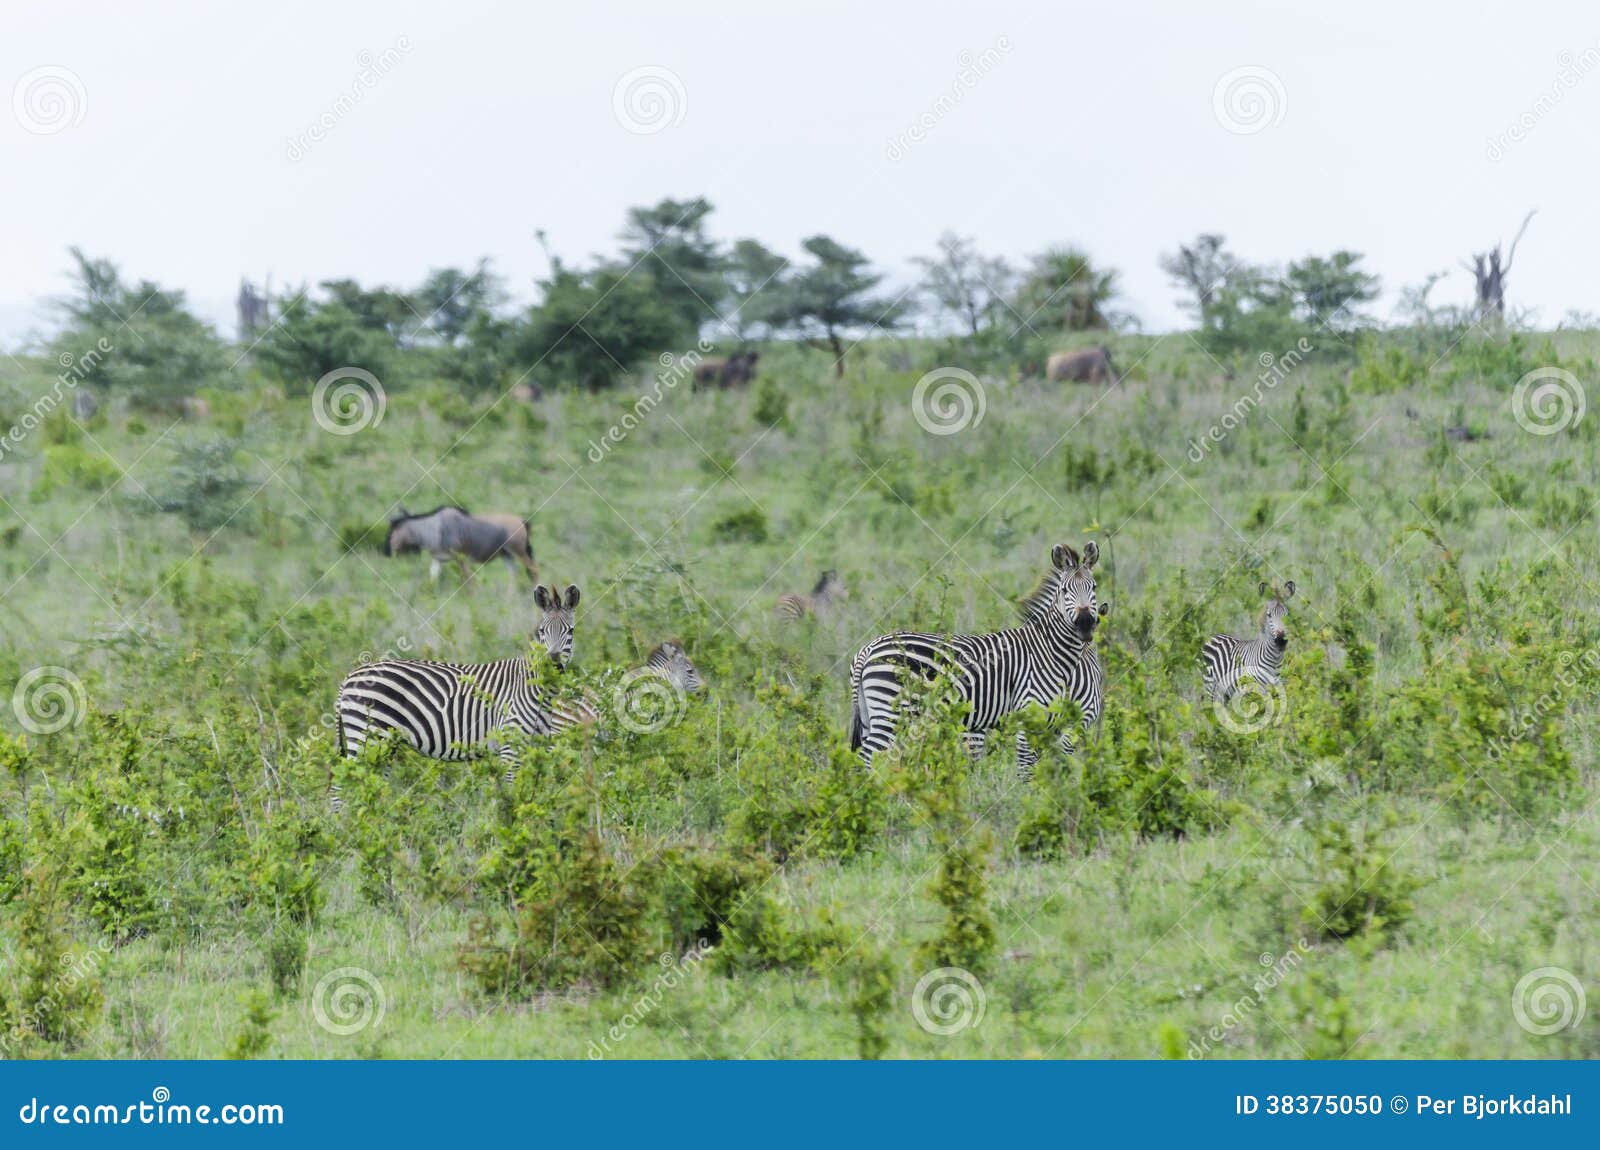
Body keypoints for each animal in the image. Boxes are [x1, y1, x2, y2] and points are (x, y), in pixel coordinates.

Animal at [335, 584, 585, 789]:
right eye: (542, 631)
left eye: (571, 631)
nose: (553, 665)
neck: (538, 690)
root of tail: (349, 677)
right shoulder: (509, 746)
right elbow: (513, 793)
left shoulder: (536, 747)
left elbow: (534, 791)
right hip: (365, 736)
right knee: (343, 786)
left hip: (385, 744)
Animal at [849, 542, 1109, 776]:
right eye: (1065, 590)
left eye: (1094, 587)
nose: (1085, 623)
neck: (1048, 649)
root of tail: (867, 649)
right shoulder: (1031, 711)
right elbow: (1027, 766)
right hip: (892, 711)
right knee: (869, 755)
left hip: (871, 713)